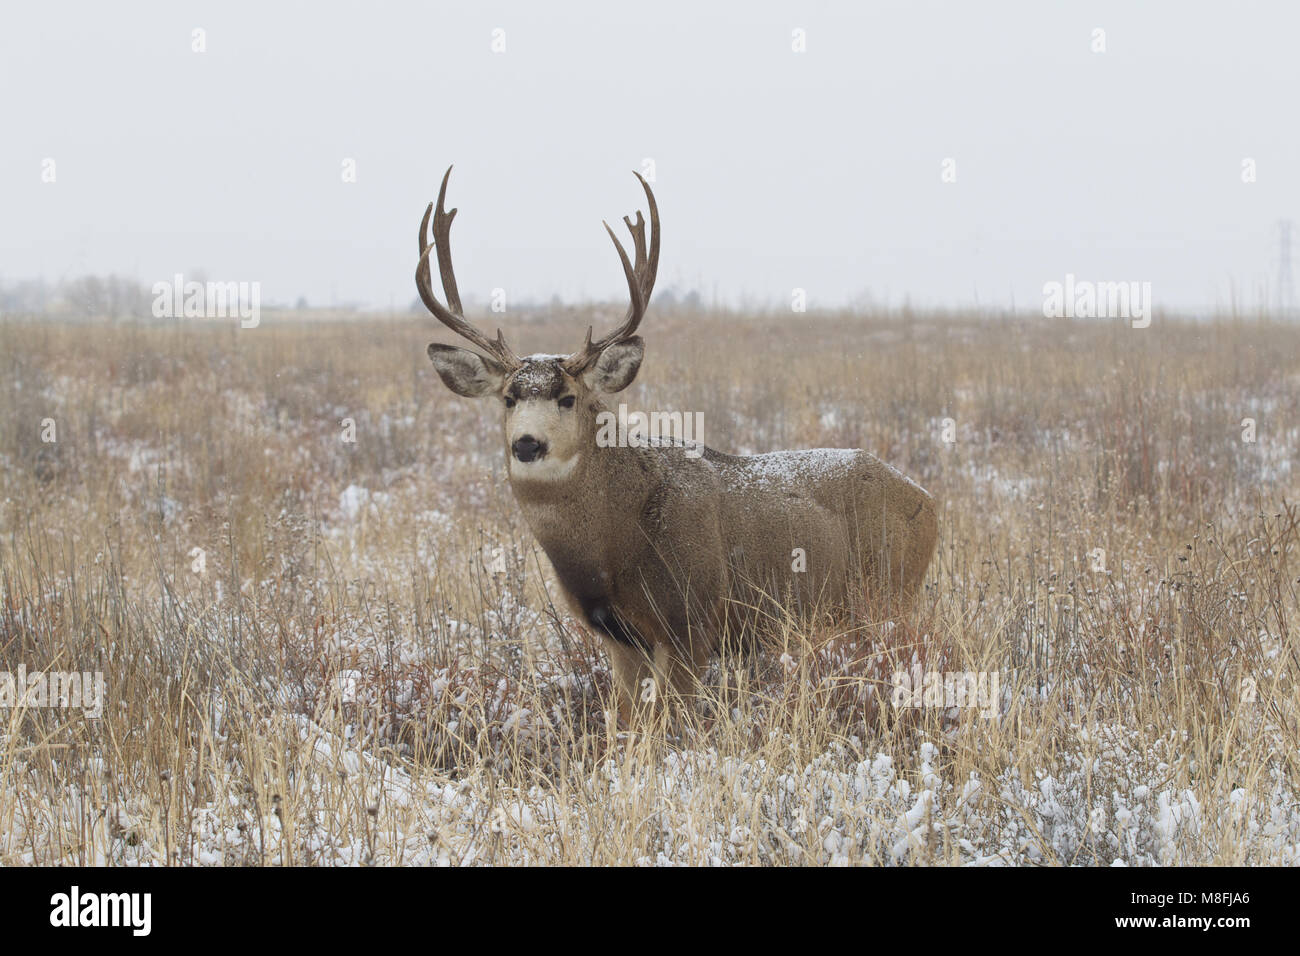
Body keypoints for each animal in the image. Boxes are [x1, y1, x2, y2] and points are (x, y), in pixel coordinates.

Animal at [417, 167, 939, 725]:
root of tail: (929, 500)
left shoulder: (694, 618)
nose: (527, 444)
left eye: (568, 397)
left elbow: (675, 724)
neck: (610, 544)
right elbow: (627, 723)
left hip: (889, 595)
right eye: (509, 398)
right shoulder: (620, 638)